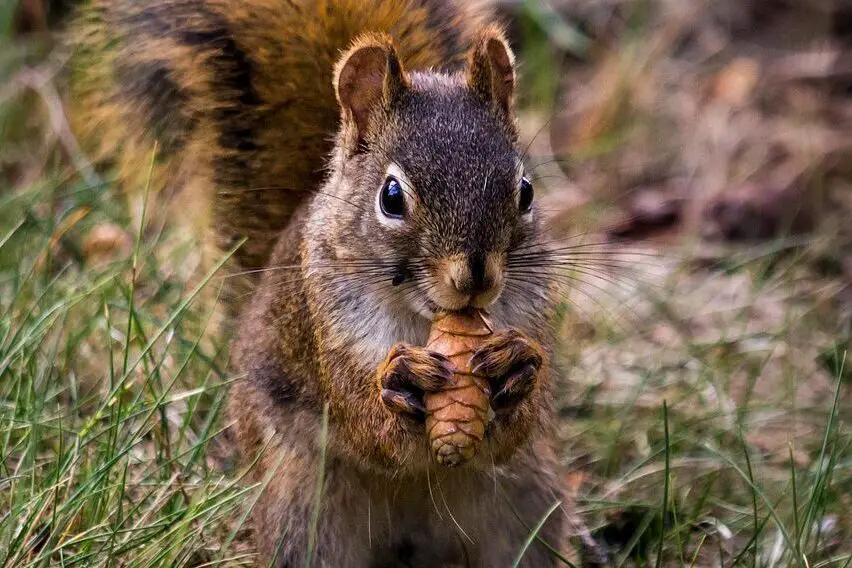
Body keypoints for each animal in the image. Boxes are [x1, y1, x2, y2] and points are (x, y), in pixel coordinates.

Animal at [65, 0, 600, 565]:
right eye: (391, 197)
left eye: (526, 191)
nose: (474, 276)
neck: (422, 320)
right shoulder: (323, 327)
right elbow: (361, 421)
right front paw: (398, 382)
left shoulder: (530, 314)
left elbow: (513, 432)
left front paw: (516, 366)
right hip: (303, 510)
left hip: (527, 500)